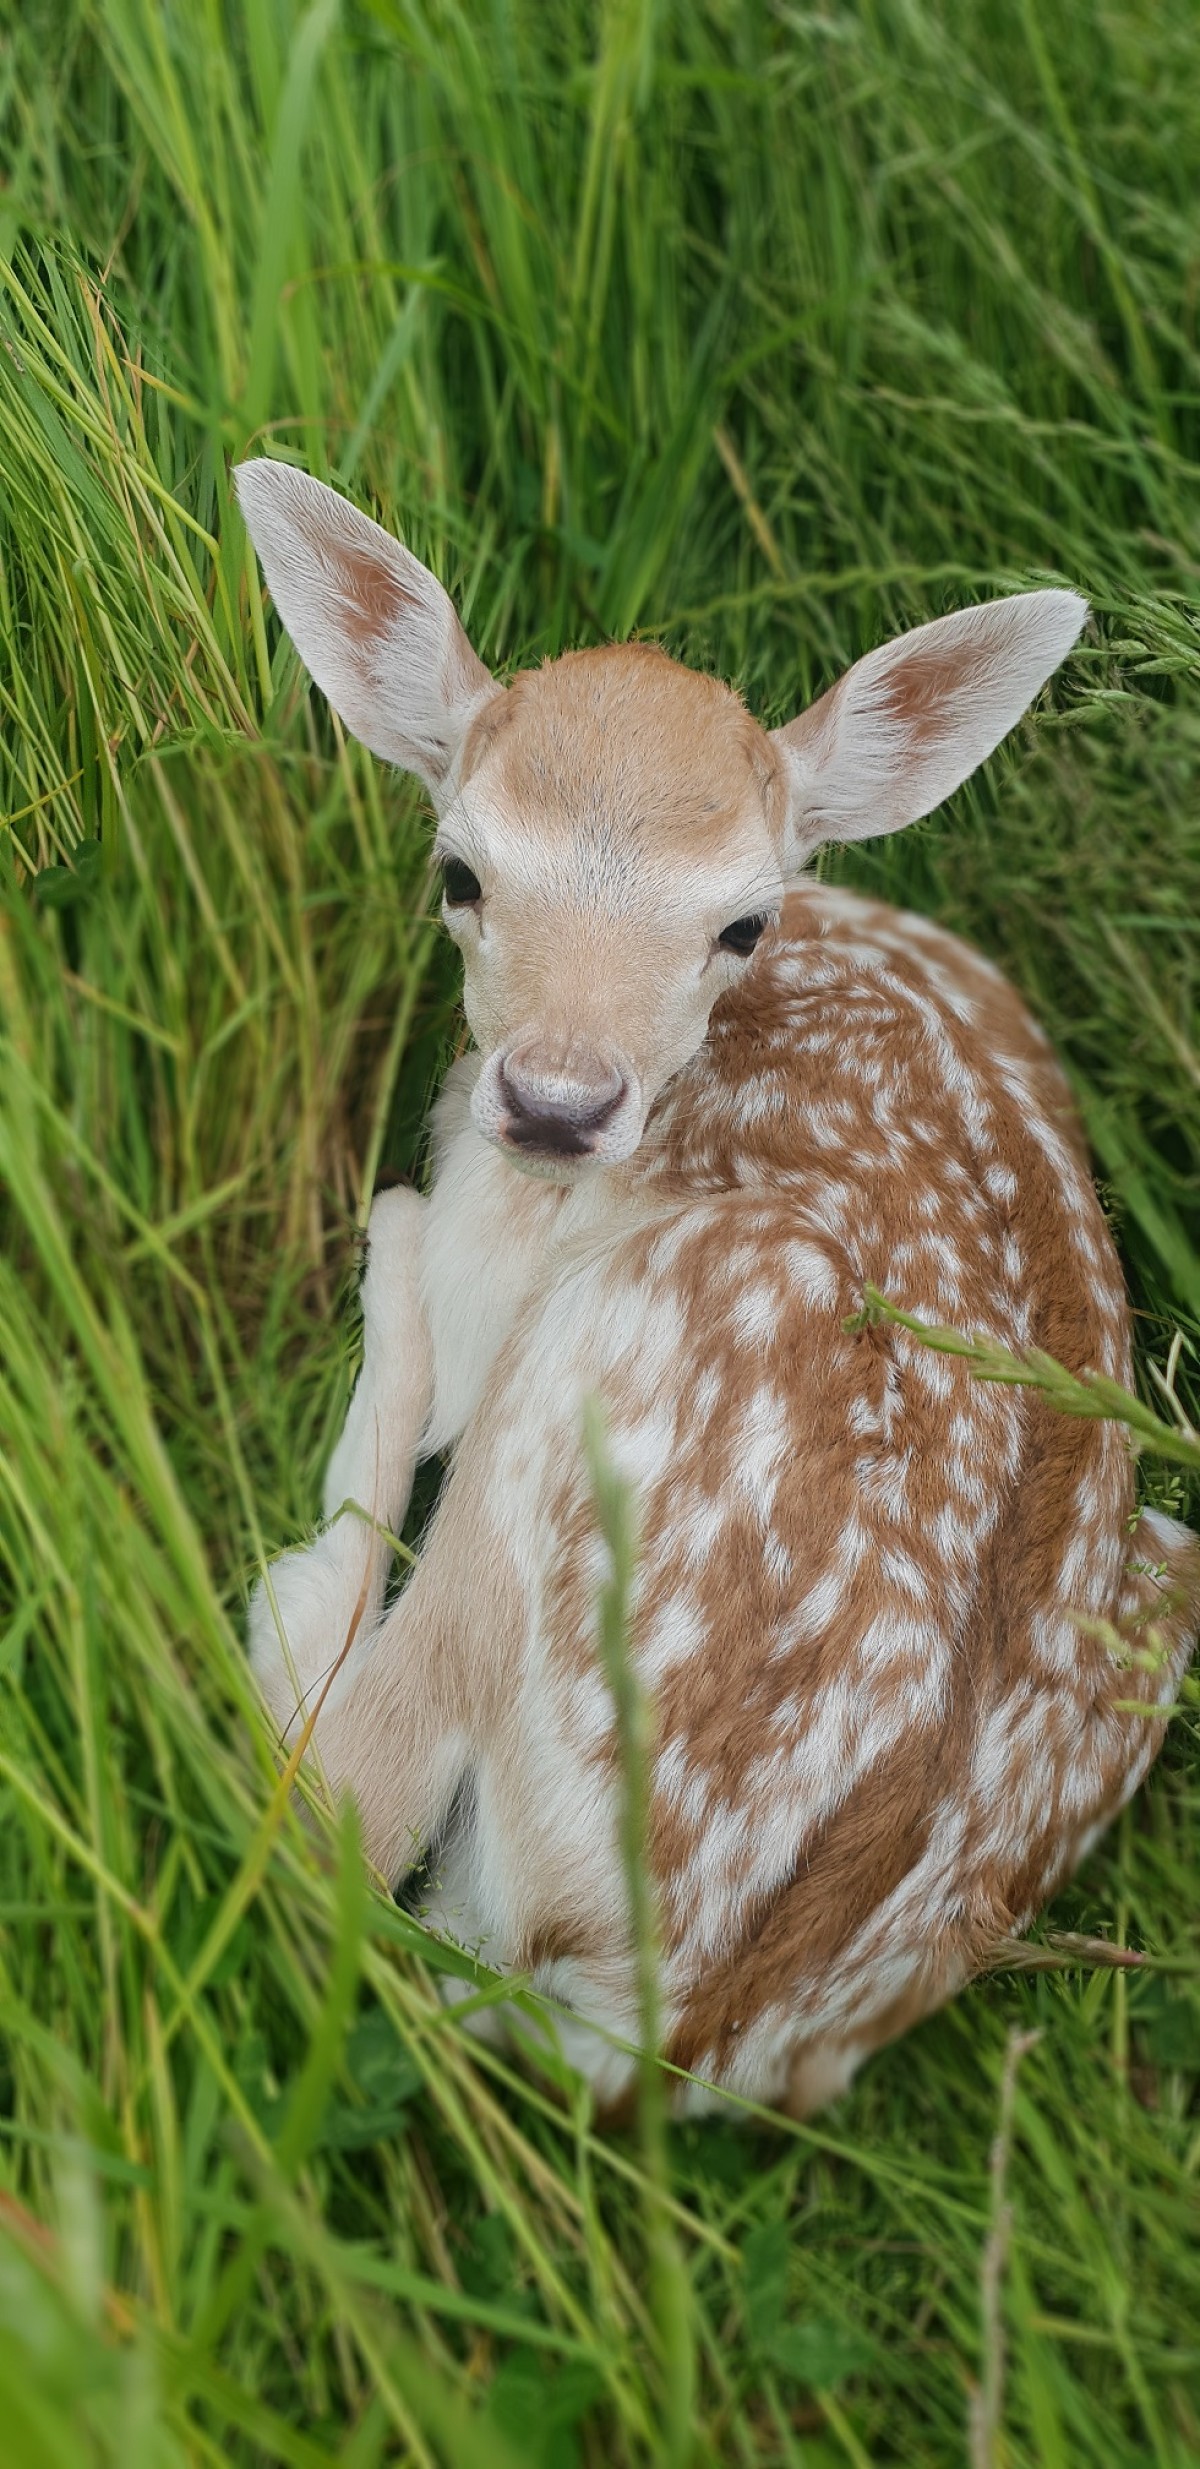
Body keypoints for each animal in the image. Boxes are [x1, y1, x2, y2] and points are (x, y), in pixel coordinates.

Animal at [237, 458, 1198, 2120]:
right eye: (460, 871)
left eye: (741, 924)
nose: (559, 1103)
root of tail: (665, 2016)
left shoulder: (523, 1258)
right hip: (1170, 1564)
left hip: (606, 1364)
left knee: (341, 1791)